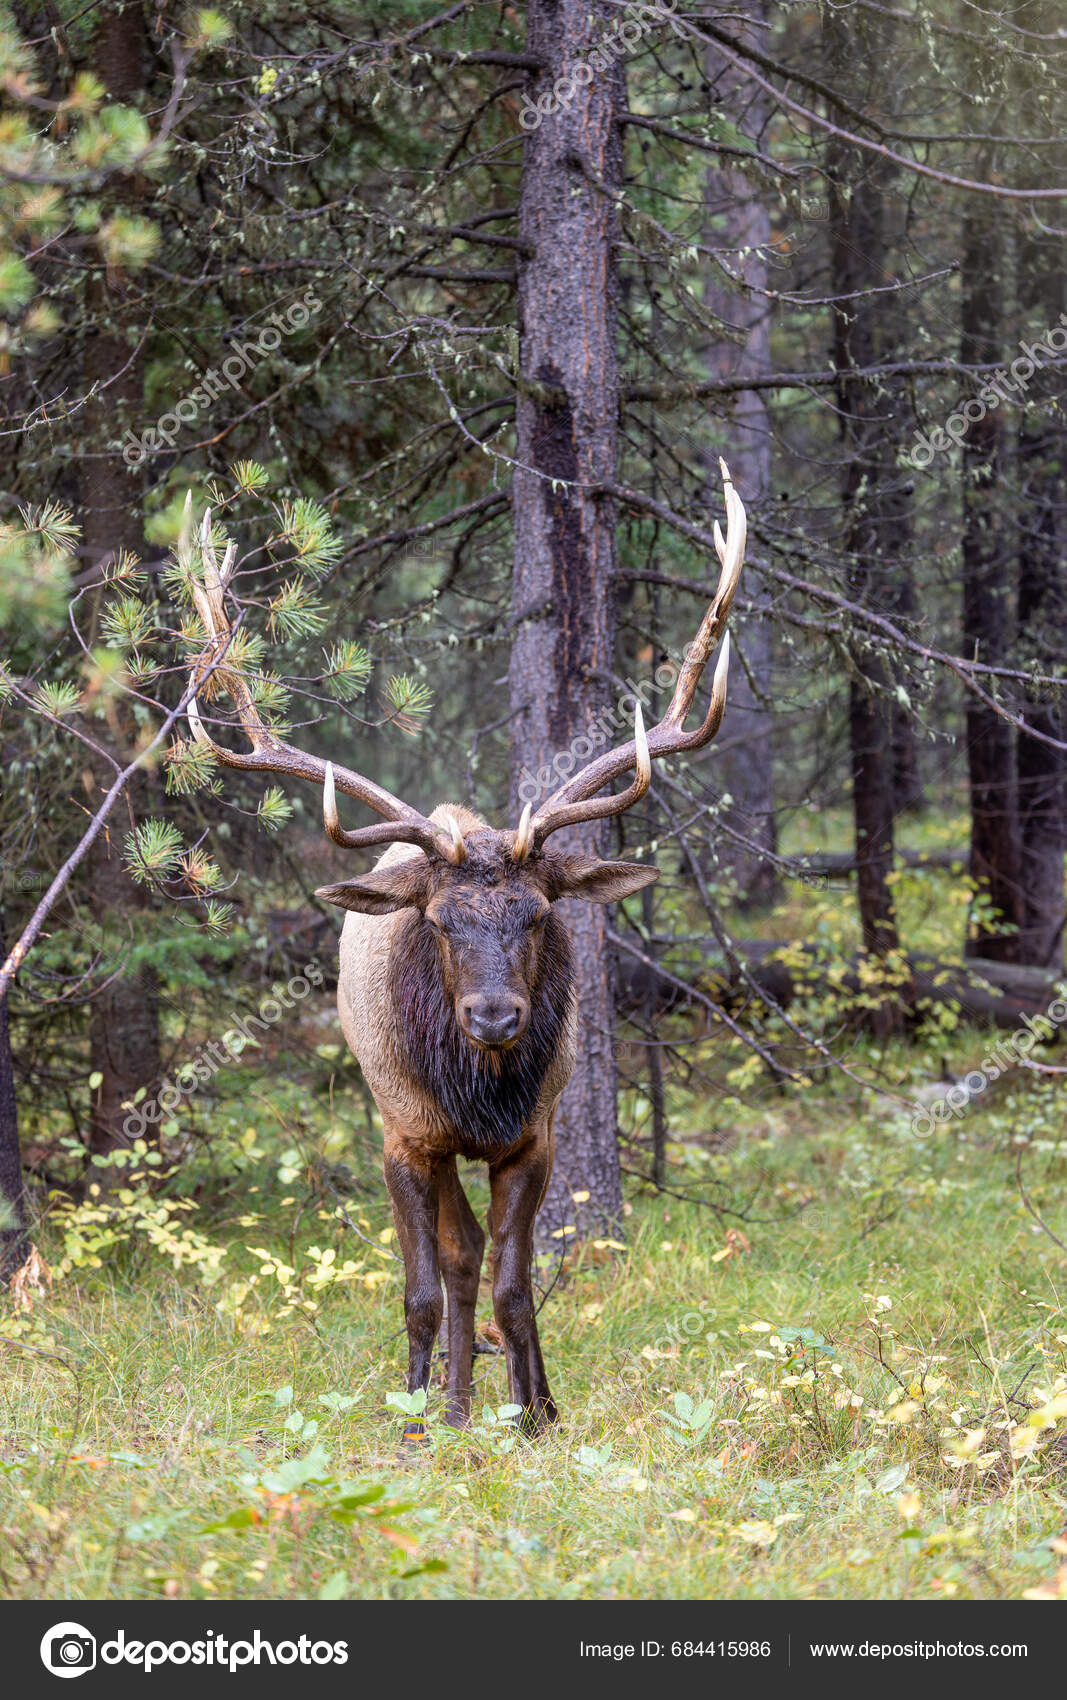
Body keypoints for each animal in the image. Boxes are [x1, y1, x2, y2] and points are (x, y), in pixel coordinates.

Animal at [184, 460, 746, 1437]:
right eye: (440, 921)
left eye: (538, 913)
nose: (492, 1014)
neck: (476, 1093)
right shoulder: (405, 1133)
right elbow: (424, 1281)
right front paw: (419, 1413)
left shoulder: (535, 1136)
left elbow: (516, 1286)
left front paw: (538, 1411)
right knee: (450, 1259)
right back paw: (446, 1397)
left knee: (477, 1257)